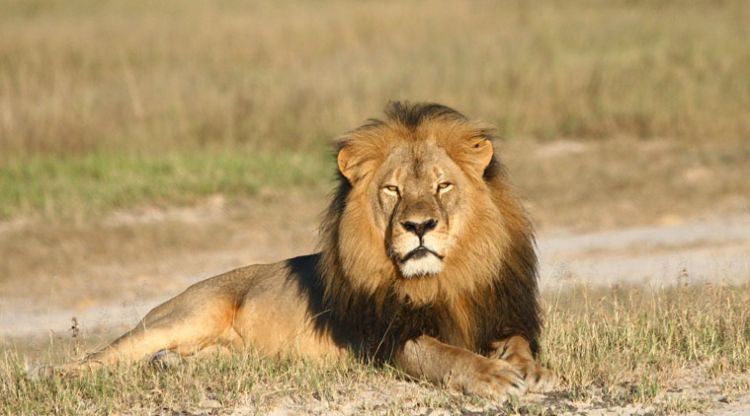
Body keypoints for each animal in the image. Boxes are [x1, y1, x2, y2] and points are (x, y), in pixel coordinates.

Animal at [48, 102, 555, 398]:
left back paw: (169, 365)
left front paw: (530, 370)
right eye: (392, 190)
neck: (442, 280)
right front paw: (491, 377)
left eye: (442, 185)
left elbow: (517, 342)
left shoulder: (500, 313)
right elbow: (444, 355)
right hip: (186, 314)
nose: (419, 226)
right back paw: (64, 377)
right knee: (105, 355)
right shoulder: (386, 339)